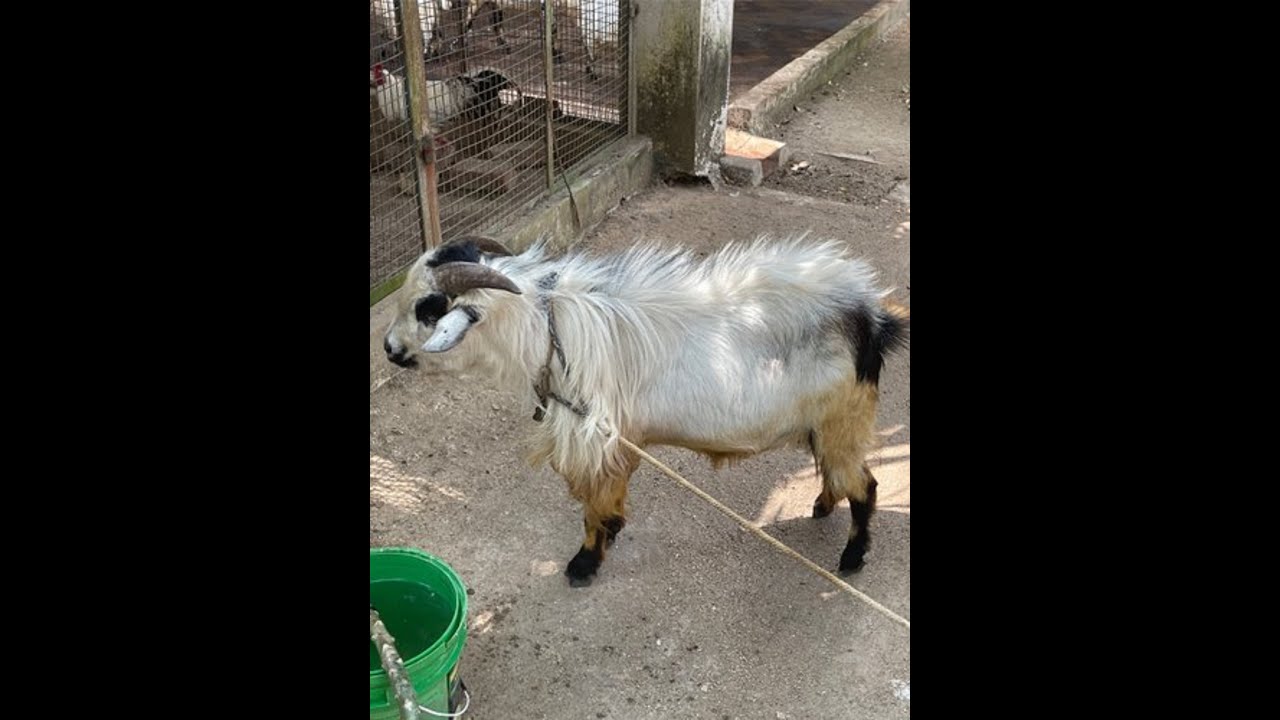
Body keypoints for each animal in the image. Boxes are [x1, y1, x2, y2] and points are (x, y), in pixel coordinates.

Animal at [382, 235, 909, 586]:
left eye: (429, 308)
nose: (388, 348)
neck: (547, 329)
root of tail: (872, 319)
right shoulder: (615, 441)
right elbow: (609, 500)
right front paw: (606, 539)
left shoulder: (595, 442)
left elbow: (593, 509)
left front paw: (584, 564)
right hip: (827, 425)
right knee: (838, 474)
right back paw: (822, 505)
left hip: (843, 420)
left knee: (866, 486)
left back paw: (852, 557)